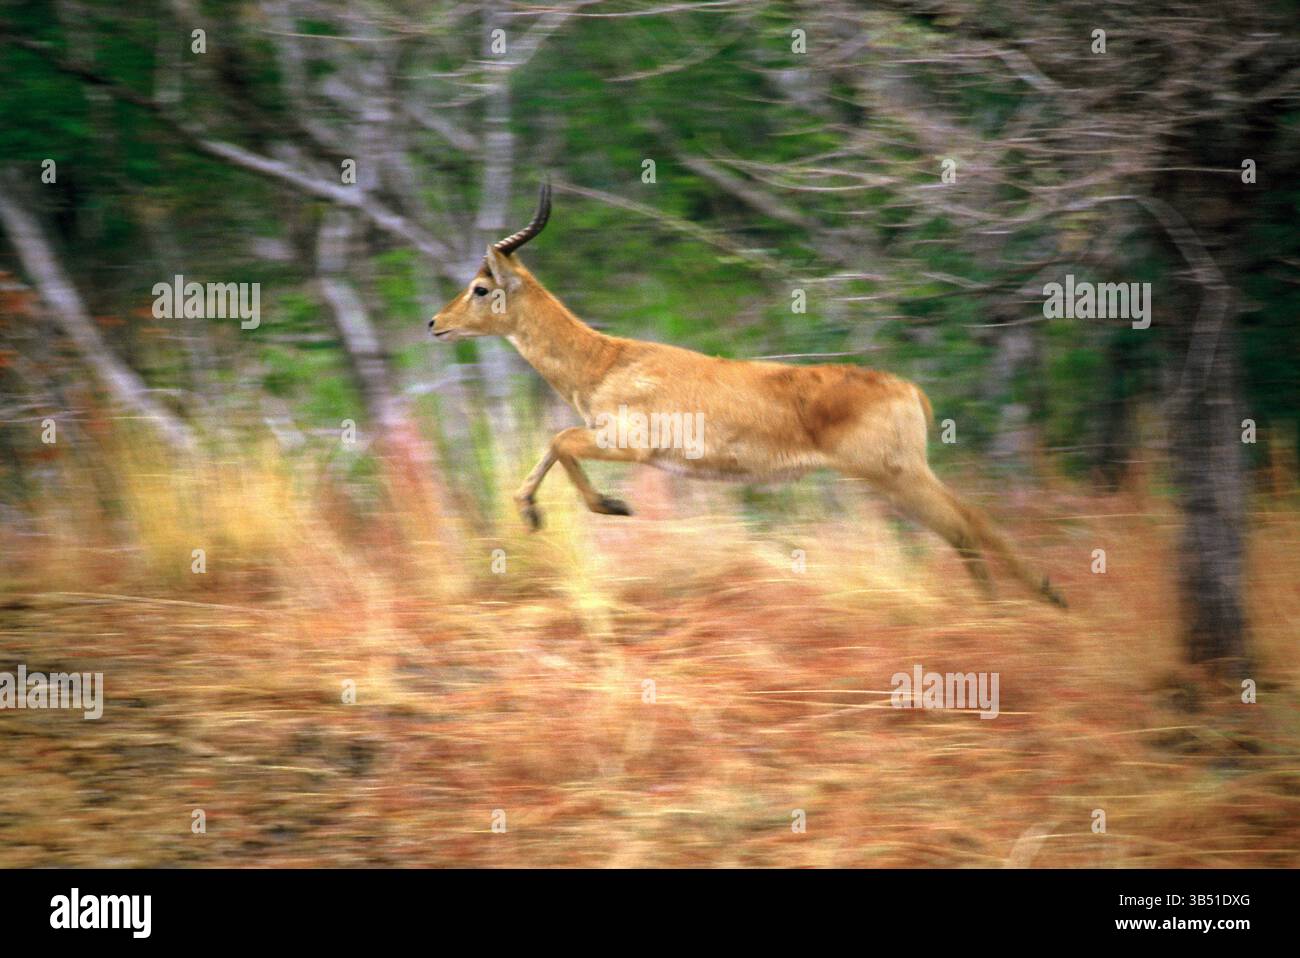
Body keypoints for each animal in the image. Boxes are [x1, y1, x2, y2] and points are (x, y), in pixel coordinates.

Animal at [430, 184, 1066, 606]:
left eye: (481, 286)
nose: (435, 324)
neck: (607, 361)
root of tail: (910, 389)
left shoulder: (631, 446)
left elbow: (560, 440)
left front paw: (613, 506)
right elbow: (550, 441)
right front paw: (531, 512)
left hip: (897, 476)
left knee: (965, 524)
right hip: (900, 477)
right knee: (970, 521)